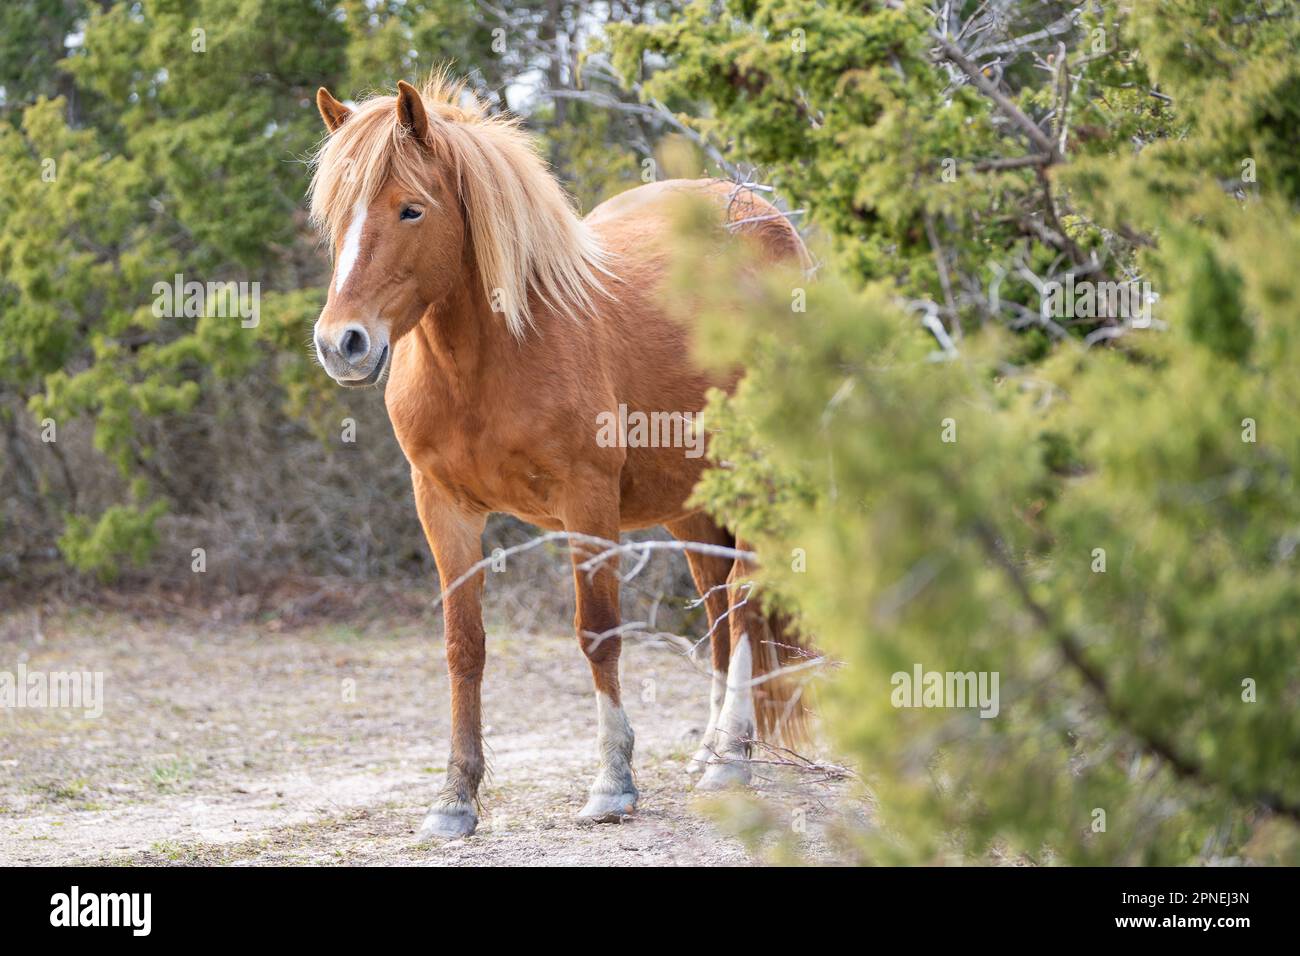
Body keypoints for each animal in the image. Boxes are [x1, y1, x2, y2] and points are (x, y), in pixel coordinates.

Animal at [308, 77, 811, 839]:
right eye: (336, 215)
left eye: (410, 208)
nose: (343, 344)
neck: (496, 353)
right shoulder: (442, 506)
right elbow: (464, 647)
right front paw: (454, 799)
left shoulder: (587, 502)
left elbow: (597, 634)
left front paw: (612, 783)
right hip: (692, 506)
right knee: (721, 608)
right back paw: (711, 753)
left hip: (754, 481)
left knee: (746, 602)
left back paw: (731, 759)